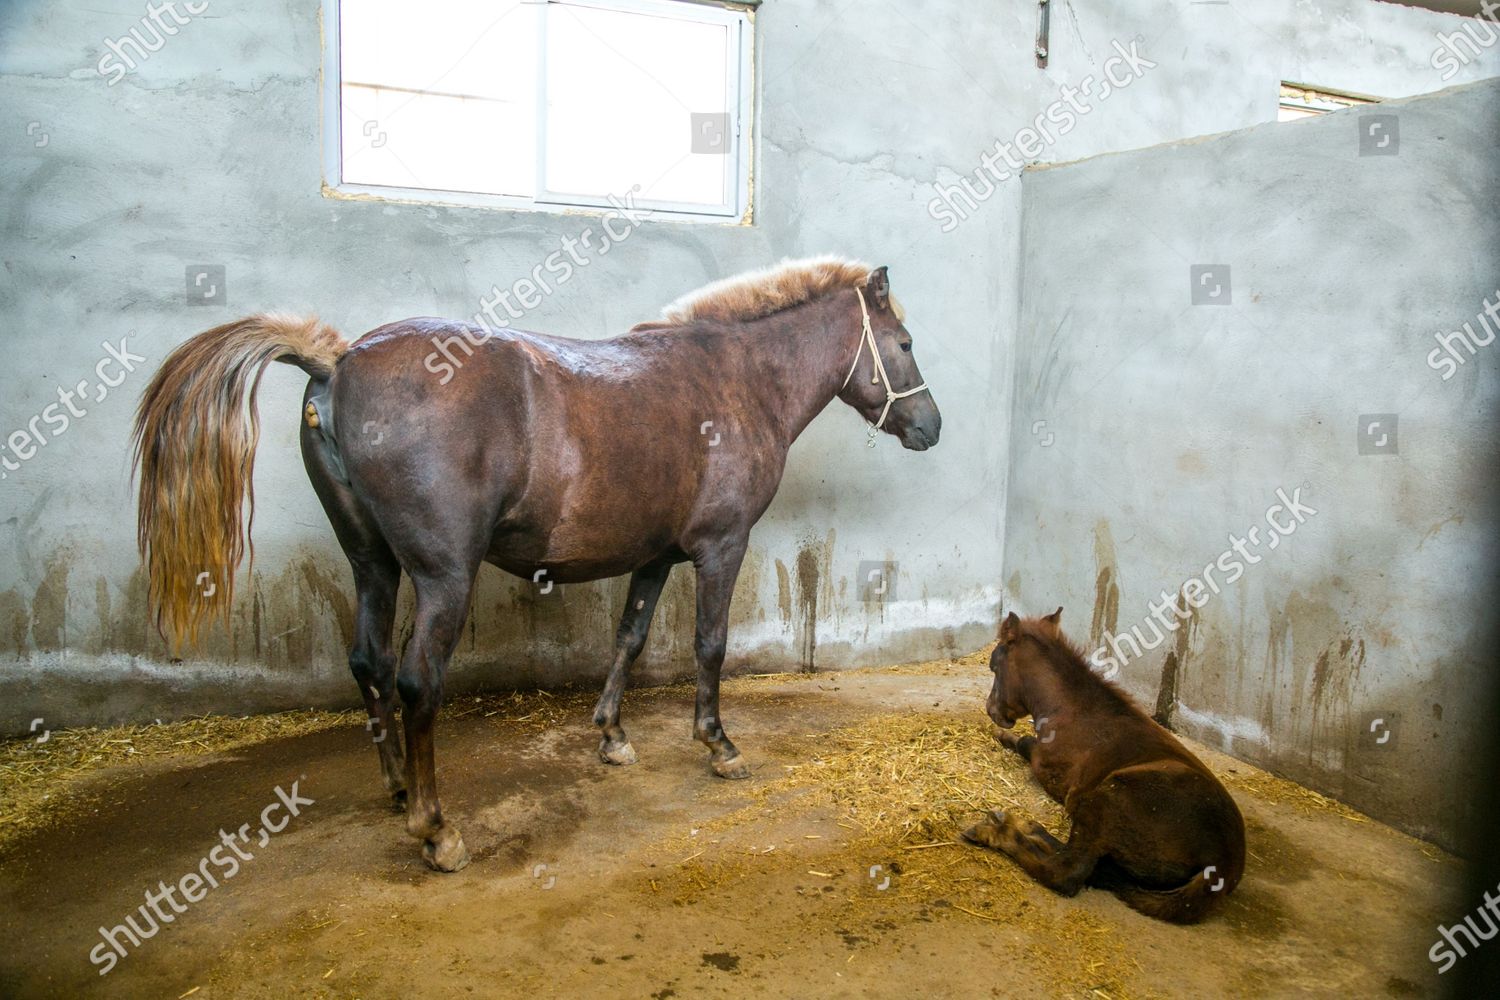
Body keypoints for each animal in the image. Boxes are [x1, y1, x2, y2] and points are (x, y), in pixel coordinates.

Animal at [131, 256, 941, 871]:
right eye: (902, 342)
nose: (930, 426)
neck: (735, 379)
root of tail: (341, 361)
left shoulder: (655, 556)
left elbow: (630, 638)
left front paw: (612, 735)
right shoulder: (720, 548)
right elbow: (709, 645)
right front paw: (718, 745)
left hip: (372, 564)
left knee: (368, 663)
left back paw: (398, 787)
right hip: (442, 577)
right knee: (415, 679)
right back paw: (435, 828)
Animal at [962, 609, 1245, 923]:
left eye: (994, 666)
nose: (991, 710)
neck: (1072, 708)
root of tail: (1224, 863)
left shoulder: (1046, 765)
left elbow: (1025, 743)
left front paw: (1003, 736)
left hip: (1110, 794)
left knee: (1067, 870)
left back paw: (995, 831)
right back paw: (1027, 825)